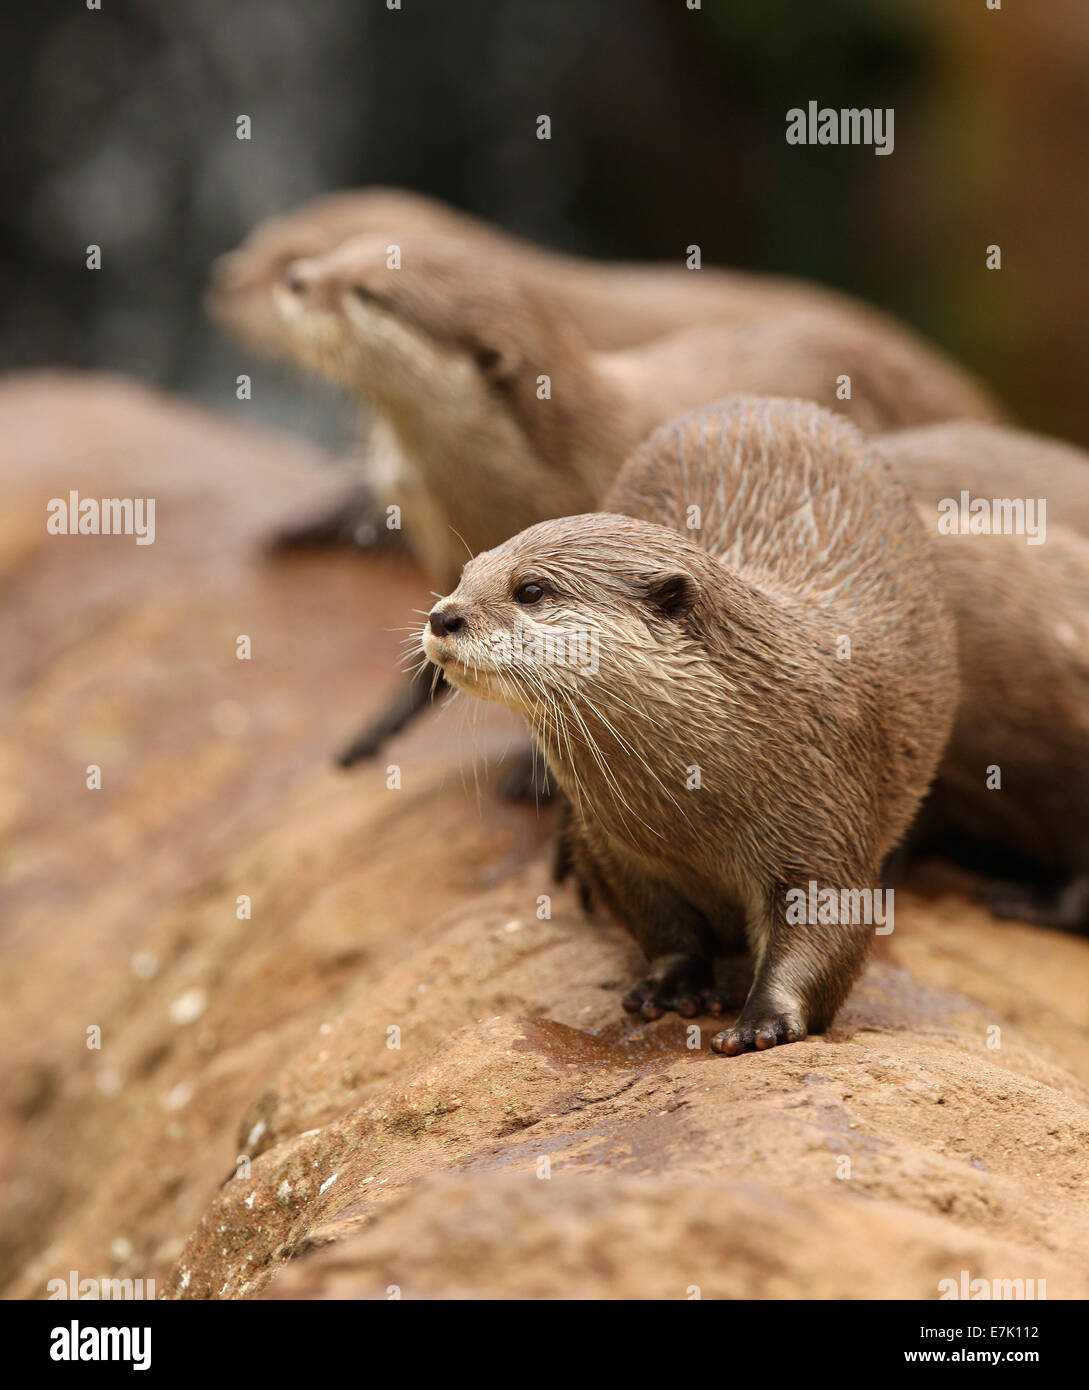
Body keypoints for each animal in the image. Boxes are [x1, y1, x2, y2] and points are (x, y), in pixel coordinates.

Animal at [421, 399, 958, 1052]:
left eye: (530, 589)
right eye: (466, 571)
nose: (442, 616)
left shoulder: (826, 817)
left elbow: (827, 929)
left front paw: (761, 1021)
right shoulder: (621, 849)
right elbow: (660, 925)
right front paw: (674, 985)